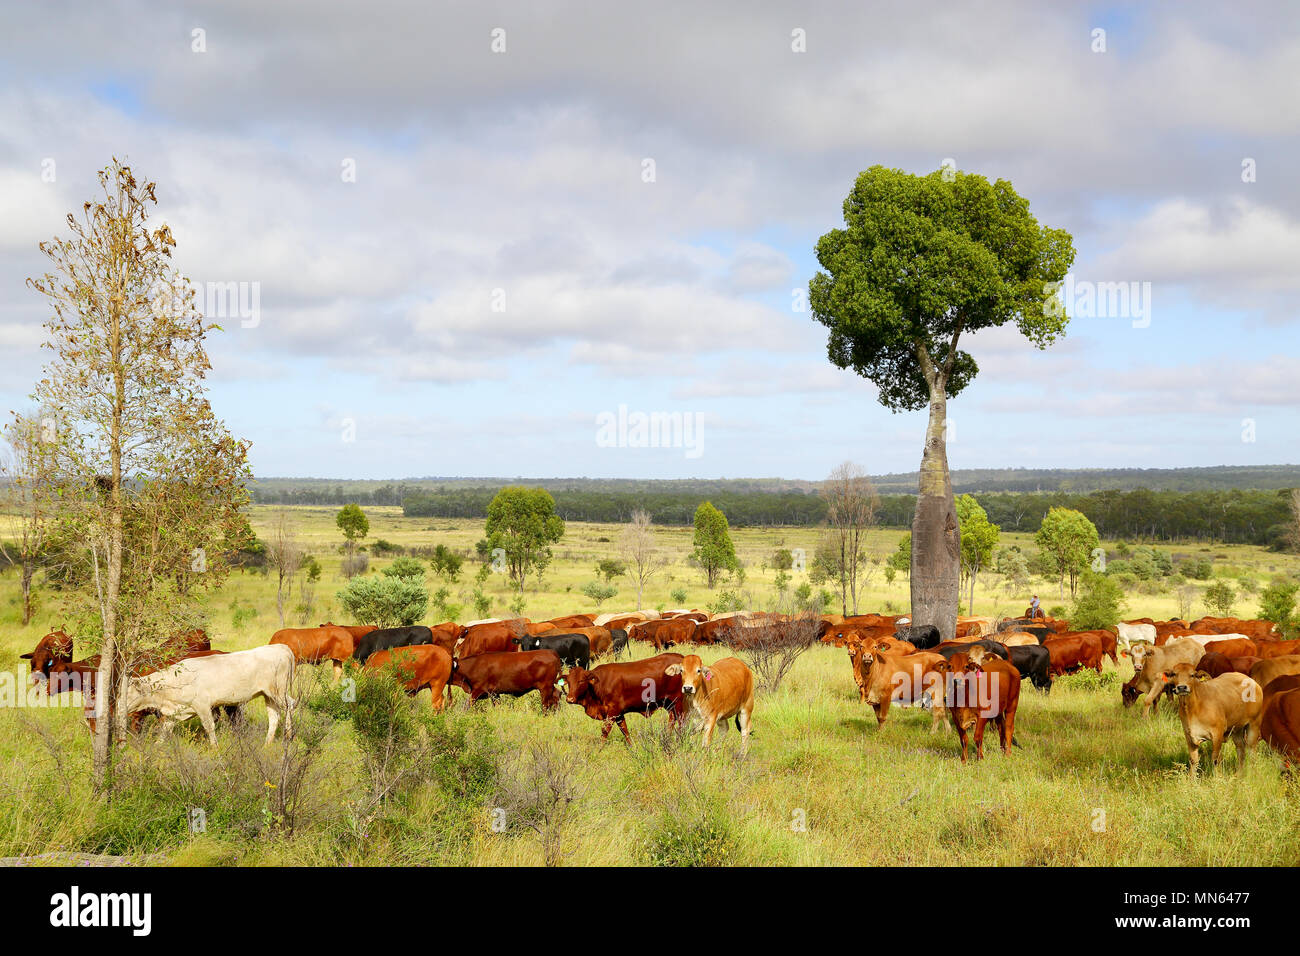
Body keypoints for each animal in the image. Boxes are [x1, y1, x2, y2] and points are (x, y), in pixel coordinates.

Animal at [123, 645, 296, 746]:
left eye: (128, 693)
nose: (121, 707)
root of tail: (281, 648)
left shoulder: (203, 705)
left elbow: (209, 726)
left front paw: (214, 747)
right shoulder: (175, 712)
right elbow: (165, 730)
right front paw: (156, 748)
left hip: (278, 691)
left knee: (291, 704)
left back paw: (288, 734)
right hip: (268, 696)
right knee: (274, 717)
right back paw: (267, 744)